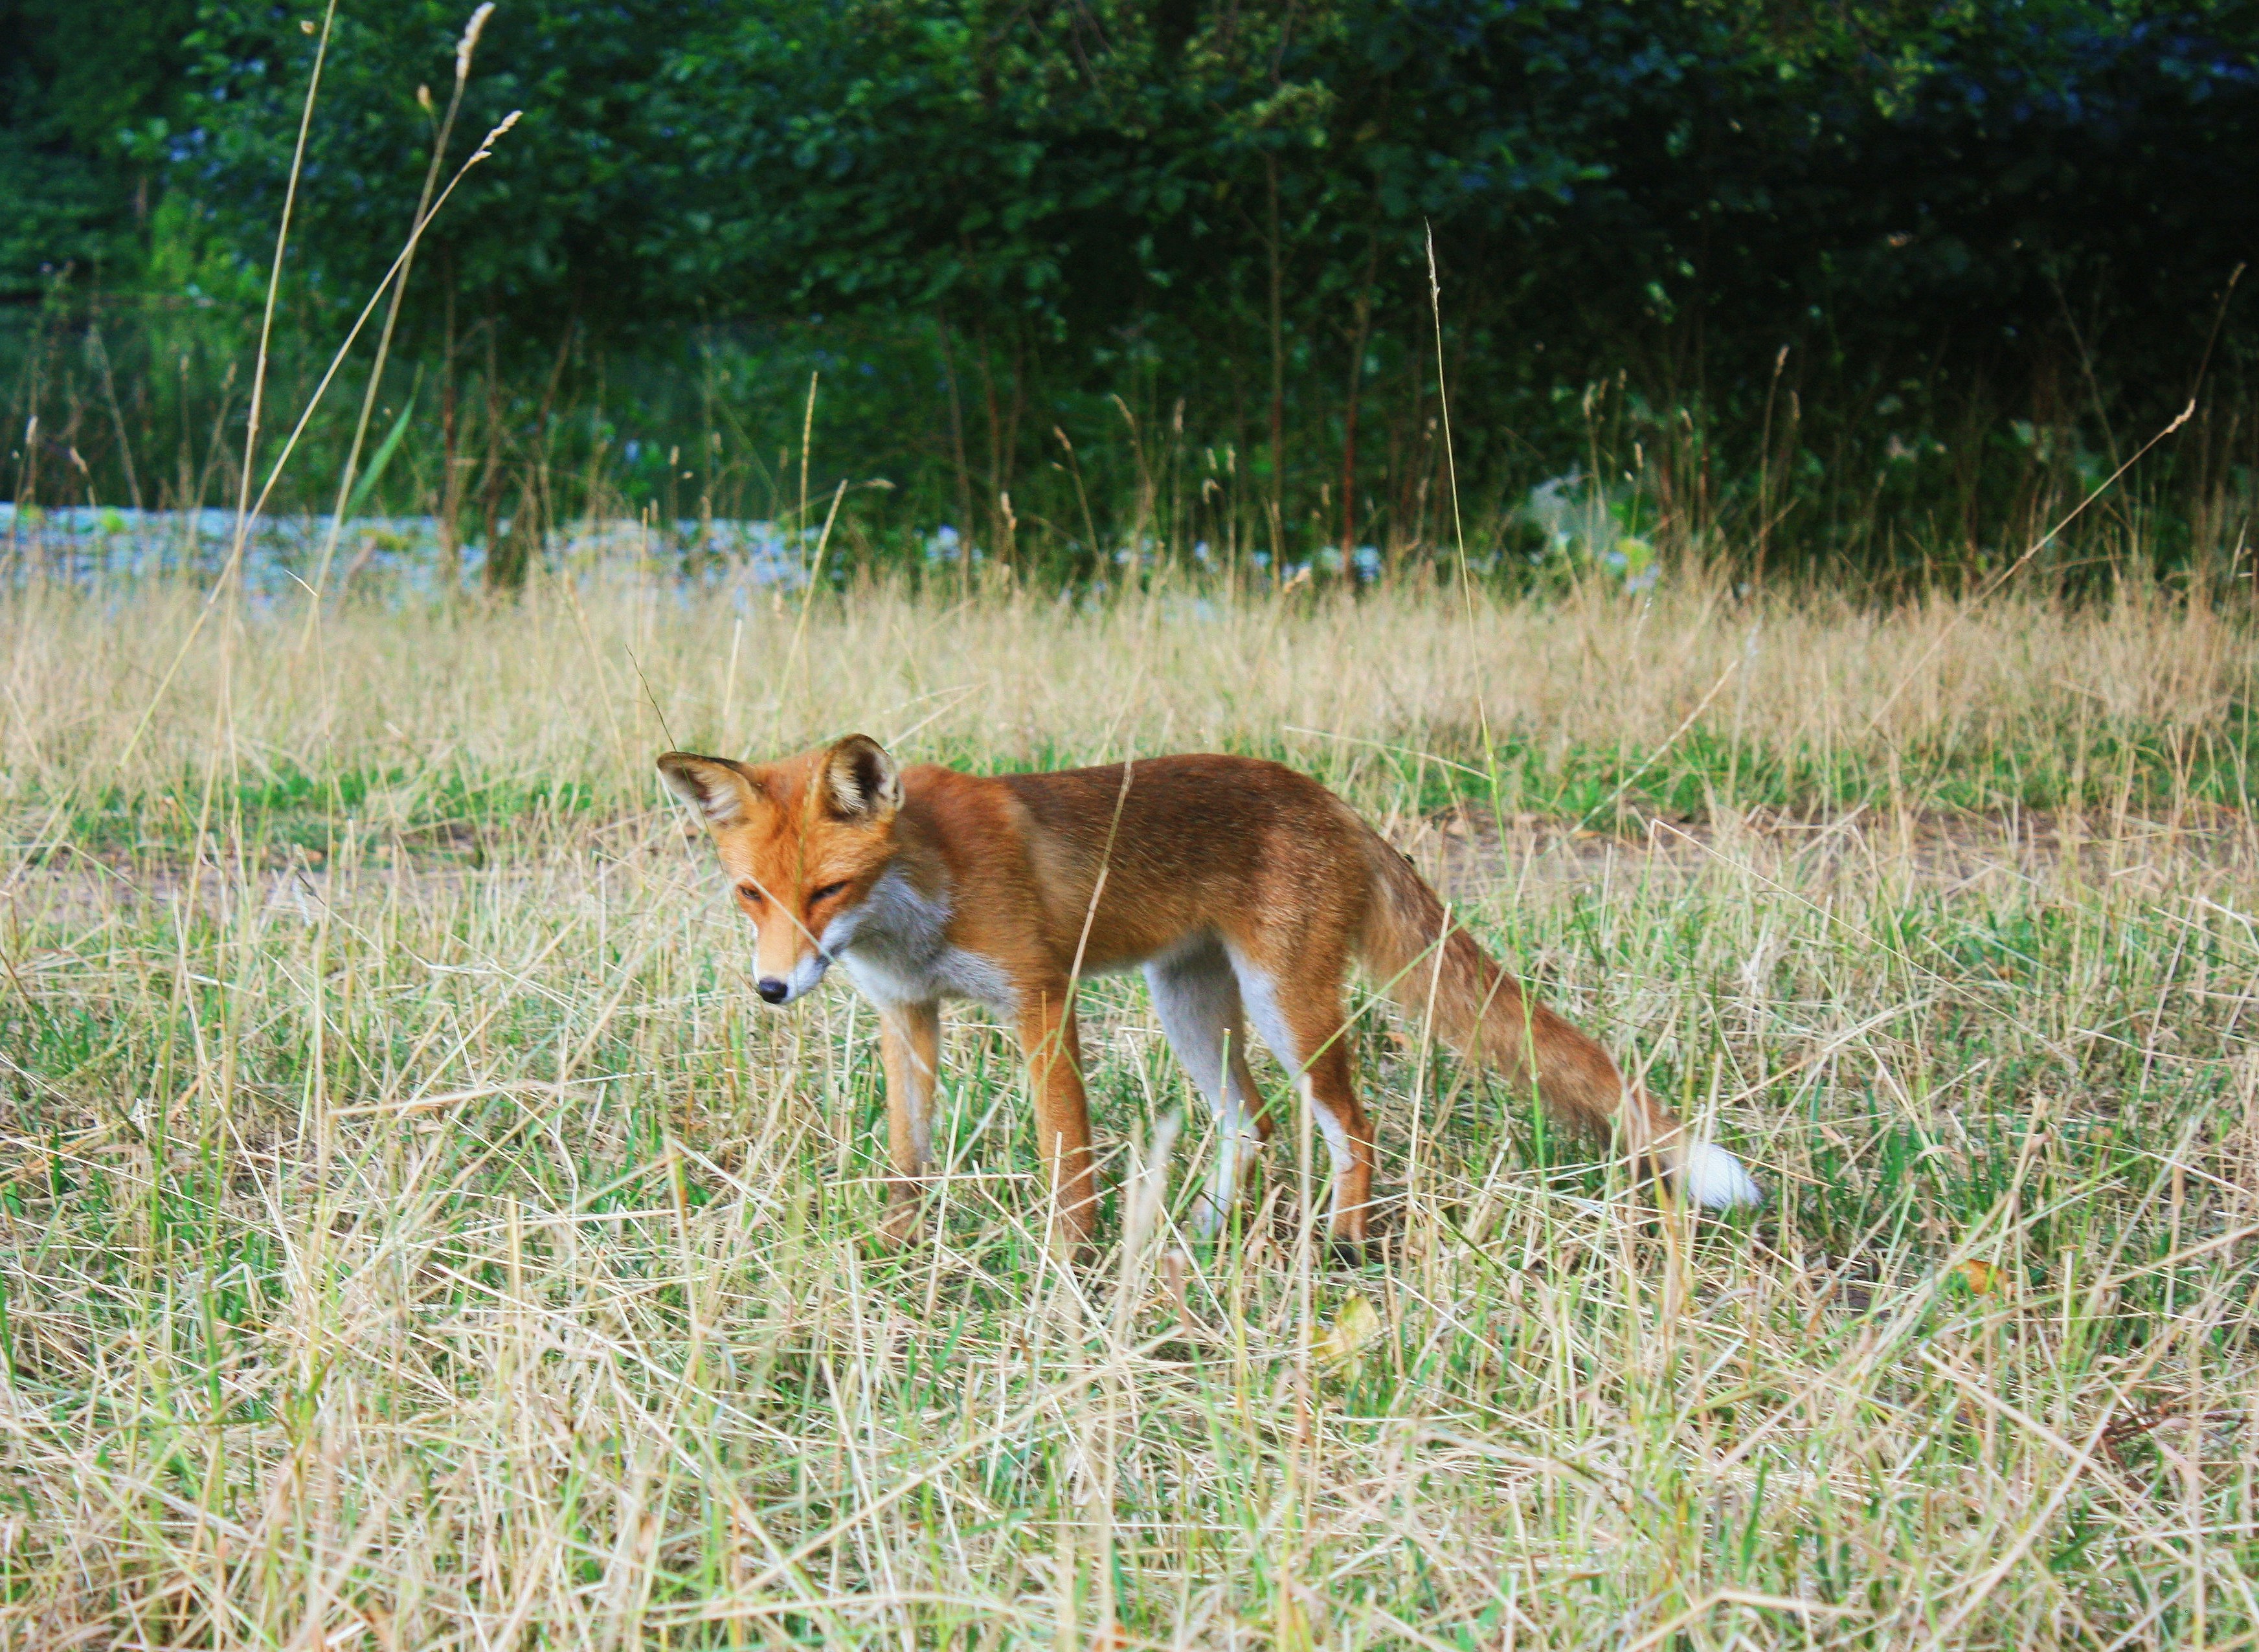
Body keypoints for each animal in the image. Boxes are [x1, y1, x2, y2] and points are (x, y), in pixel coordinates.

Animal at [658, 735, 1762, 1250]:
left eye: (826, 890)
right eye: (751, 894)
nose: (771, 987)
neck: (918, 898)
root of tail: (1326, 796)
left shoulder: (1039, 1002)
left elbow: (1067, 1157)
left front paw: (1072, 1267)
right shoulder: (907, 1015)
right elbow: (906, 1162)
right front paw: (897, 1254)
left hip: (1287, 1010)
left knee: (1352, 1127)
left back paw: (1345, 1245)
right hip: (1186, 1005)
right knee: (1254, 1127)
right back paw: (1199, 1237)